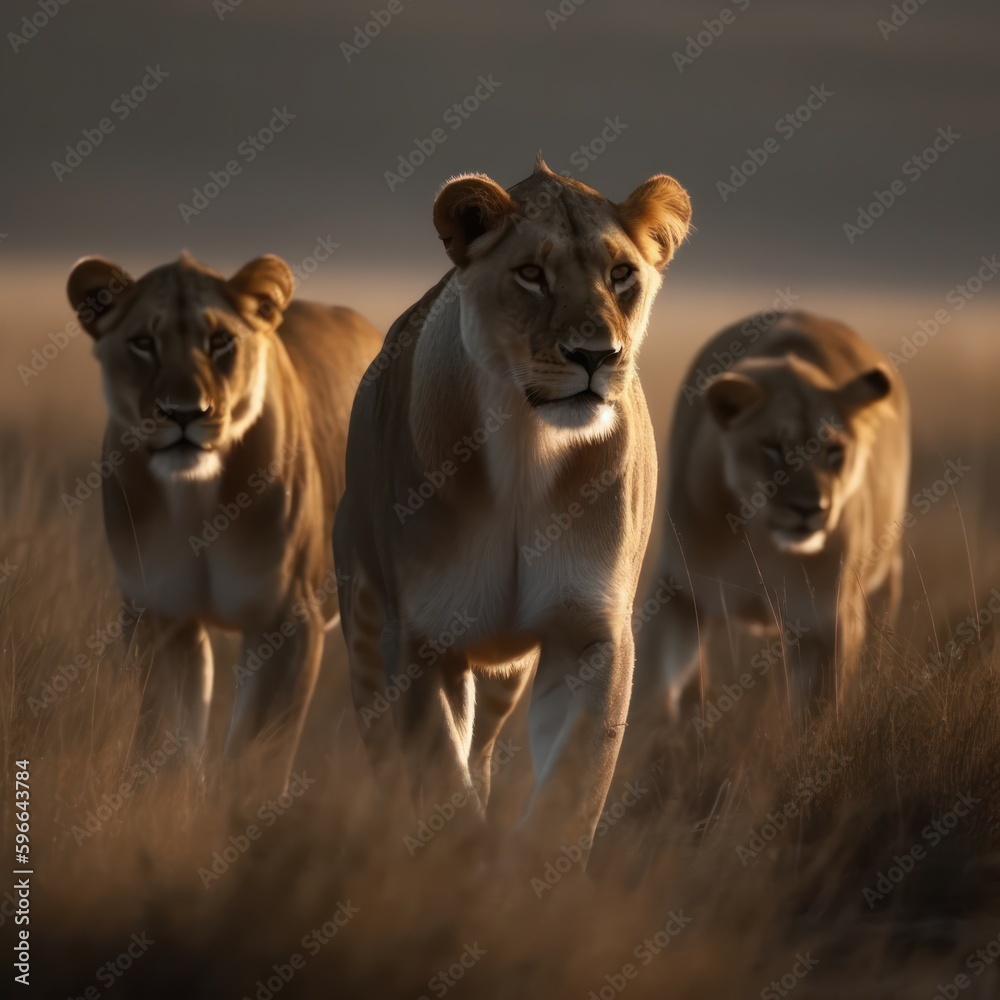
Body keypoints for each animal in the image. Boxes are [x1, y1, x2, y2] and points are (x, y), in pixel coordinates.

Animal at [66, 252, 382, 783]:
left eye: (220, 342)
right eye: (143, 343)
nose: (183, 412)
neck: (195, 499)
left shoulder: (287, 620)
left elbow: (255, 754)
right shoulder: (160, 615)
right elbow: (168, 737)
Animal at [333, 156, 692, 853]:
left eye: (621, 274)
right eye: (531, 274)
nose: (595, 356)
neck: (529, 450)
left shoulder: (590, 633)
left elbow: (569, 790)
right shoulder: (420, 636)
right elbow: (438, 776)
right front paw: (459, 858)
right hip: (363, 622)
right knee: (389, 753)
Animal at [636, 309, 910, 723]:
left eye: (834, 451)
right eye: (773, 447)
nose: (811, 508)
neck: (760, 538)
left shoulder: (824, 620)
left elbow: (817, 718)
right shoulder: (679, 593)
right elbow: (647, 690)